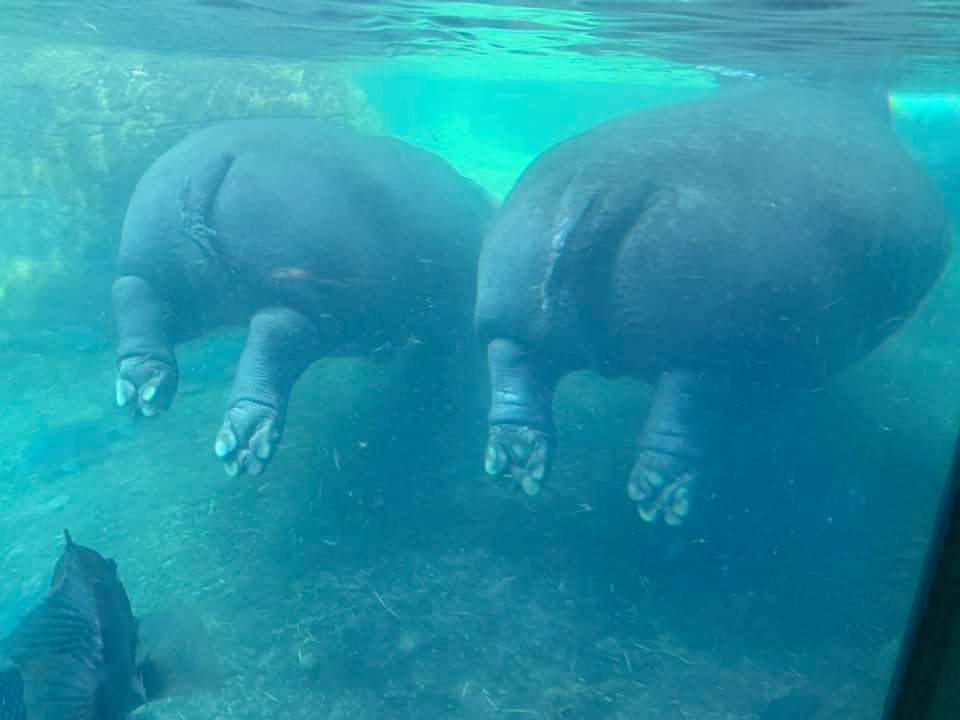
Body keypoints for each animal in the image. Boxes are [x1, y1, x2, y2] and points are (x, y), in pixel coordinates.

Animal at [113, 119, 494, 477]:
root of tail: (212, 161)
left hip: (158, 268)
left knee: (136, 302)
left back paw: (143, 388)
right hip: (305, 301)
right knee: (275, 342)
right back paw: (249, 441)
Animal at [475, 82, 951, 529]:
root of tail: (609, 188)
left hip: (513, 291)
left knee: (516, 370)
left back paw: (515, 465)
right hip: (709, 347)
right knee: (684, 407)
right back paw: (663, 497)